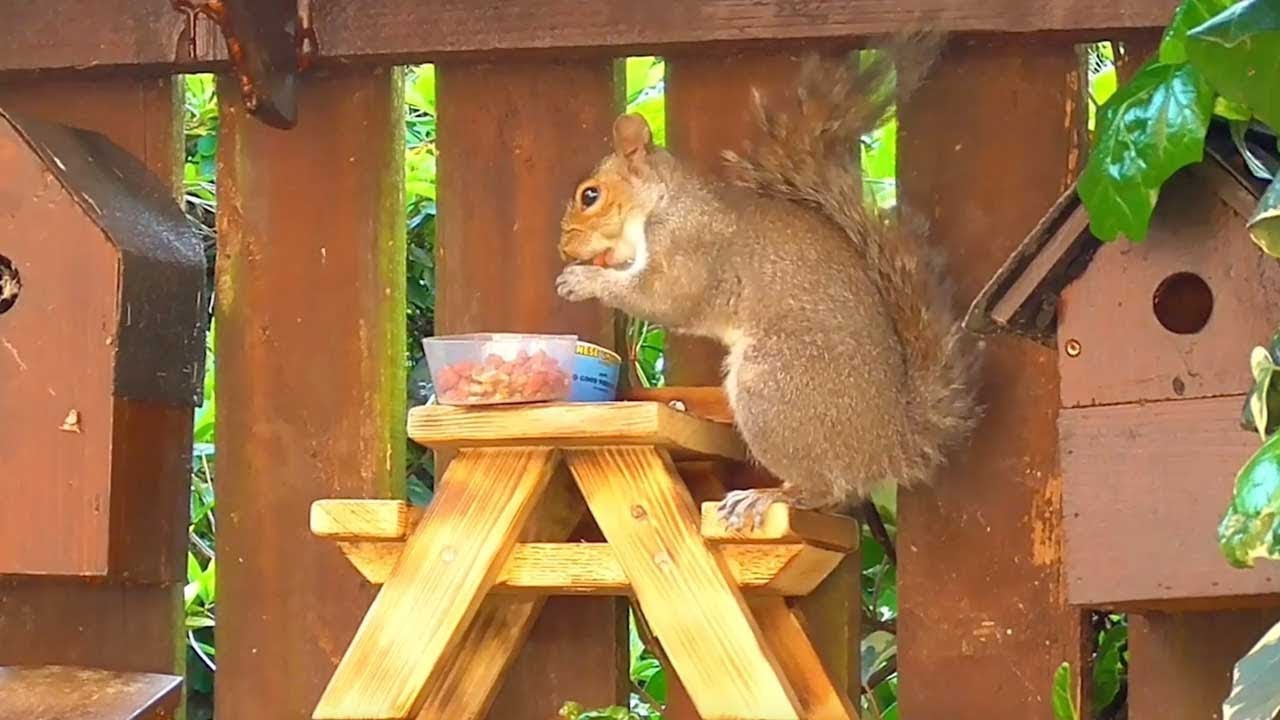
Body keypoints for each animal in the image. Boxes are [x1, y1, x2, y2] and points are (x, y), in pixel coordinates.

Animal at [555, 36, 981, 530]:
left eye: (591, 196)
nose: (565, 248)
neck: (664, 201)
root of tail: (888, 444)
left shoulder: (689, 247)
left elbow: (665, 298)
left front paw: (583, 279)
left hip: (772, 384)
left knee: (825, 487)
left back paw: (767, 496)